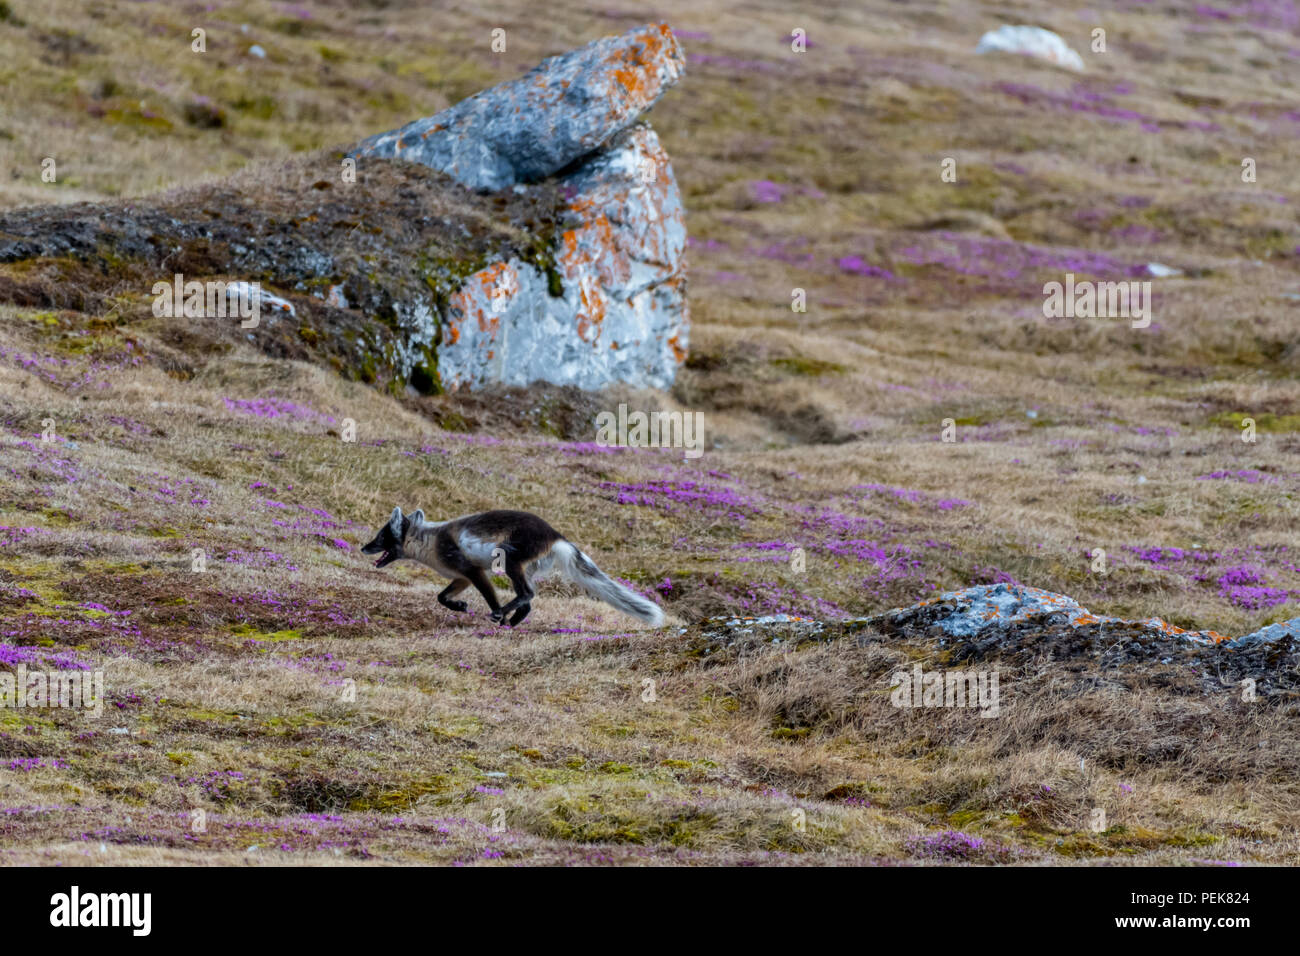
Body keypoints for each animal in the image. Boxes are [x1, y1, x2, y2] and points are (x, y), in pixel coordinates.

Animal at [360, 507, 665, 628]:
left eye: (381, 536)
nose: (363, 547)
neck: (430, 541)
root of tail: (557, 536)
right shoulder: (460, 576)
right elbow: (441, 596)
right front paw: (459, 606)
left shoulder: (471, 570)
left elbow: (487, 594)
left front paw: (495, 611)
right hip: (525, 567)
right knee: (528, 599)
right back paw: (514, 621)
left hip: (509, 557)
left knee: (527, 594)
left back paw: (503, 615)